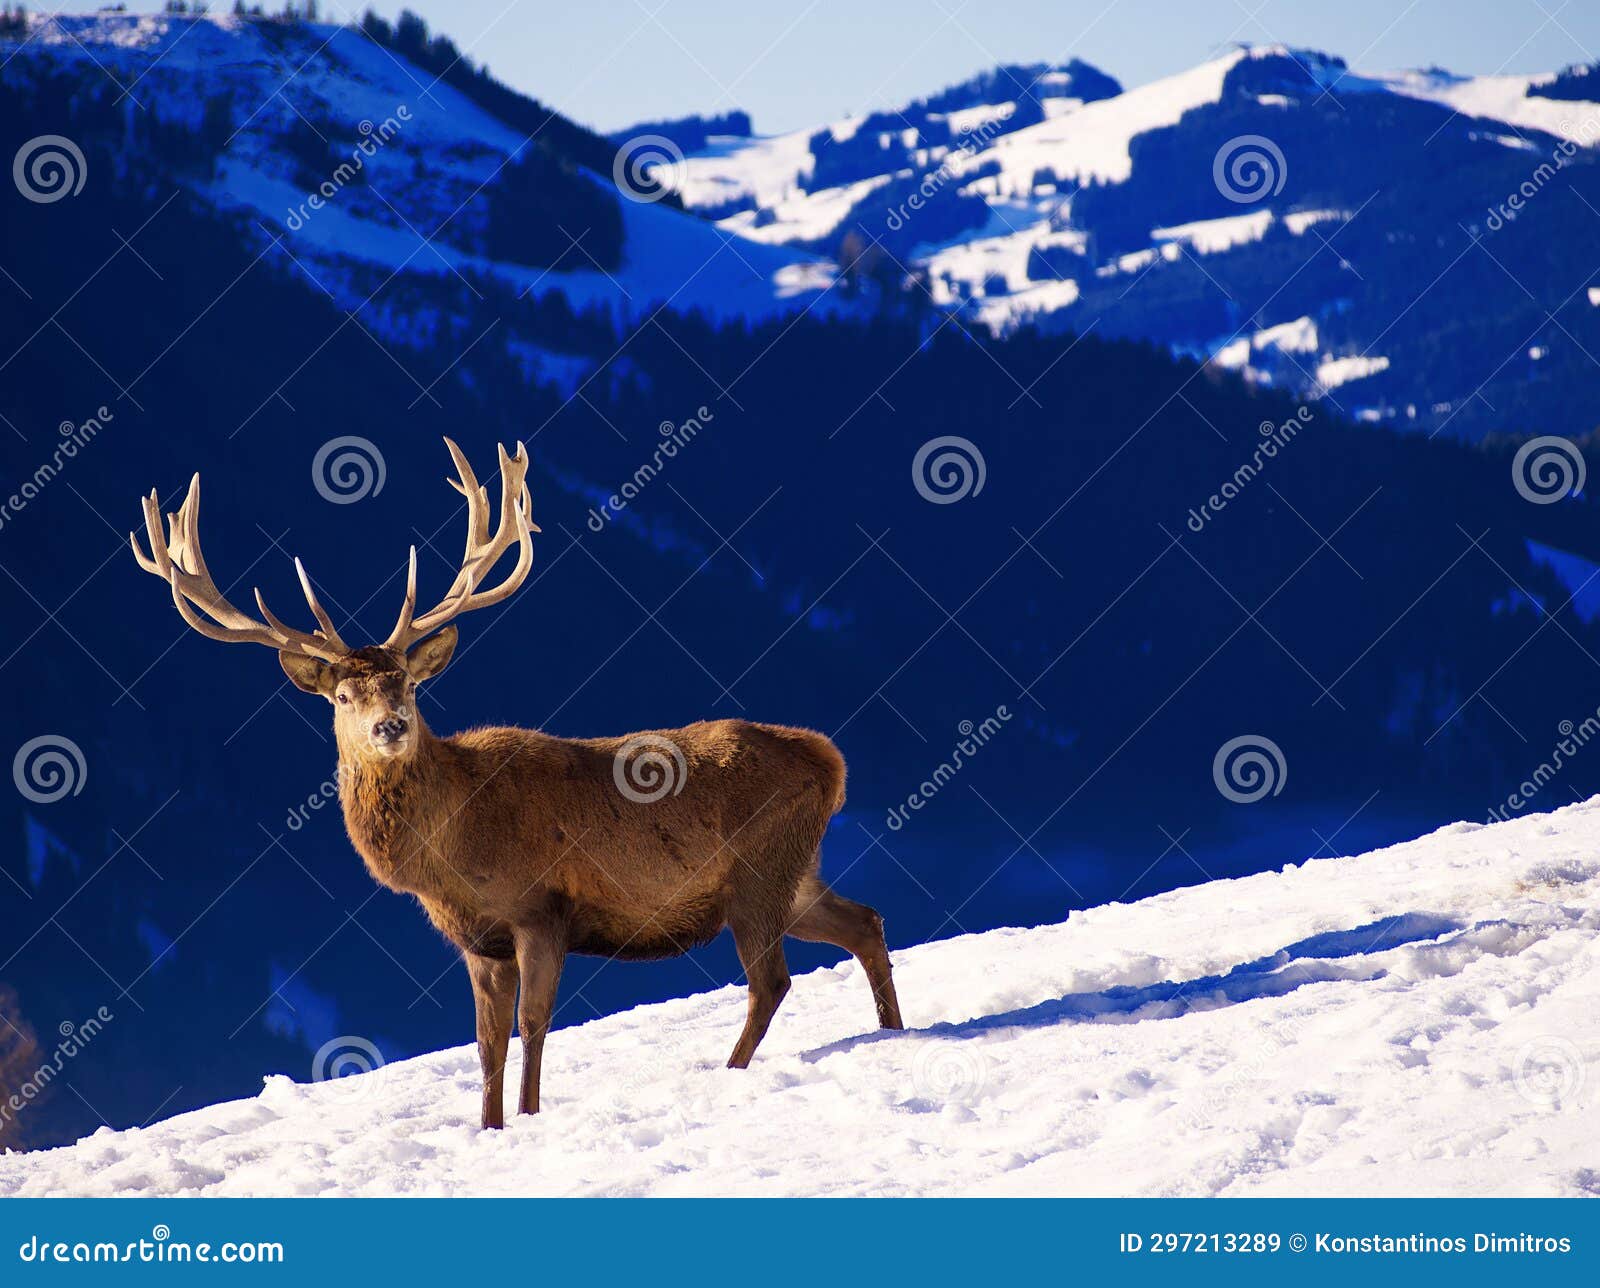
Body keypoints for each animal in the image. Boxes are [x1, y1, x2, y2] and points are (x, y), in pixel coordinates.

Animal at [130, 438, 903, 1128]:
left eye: (408, 683)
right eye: (342, 696)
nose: (392, 726)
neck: (451, 852)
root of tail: (830, 762)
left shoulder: (542, 907)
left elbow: (533, 1027)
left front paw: (528, 1120)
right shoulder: (477, 941)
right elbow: (486, 1045)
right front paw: (490, 1127)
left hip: (757, 870)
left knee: (771, 980)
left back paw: (732, 1069)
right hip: (795, 874)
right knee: (864, 922)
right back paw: (893, 1030)